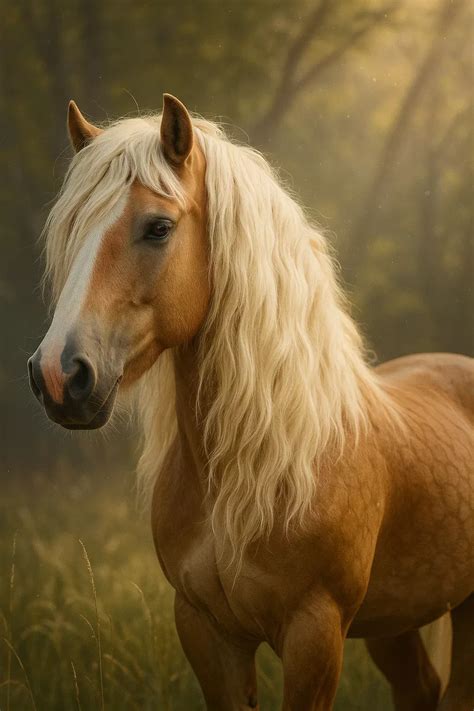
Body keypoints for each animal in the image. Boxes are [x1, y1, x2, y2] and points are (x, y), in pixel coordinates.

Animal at [28, 94, 473, 710]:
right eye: (72, 231)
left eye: (158, 227)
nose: (58, 374)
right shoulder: (206, 632)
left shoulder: (315, 634)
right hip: (394, 621)